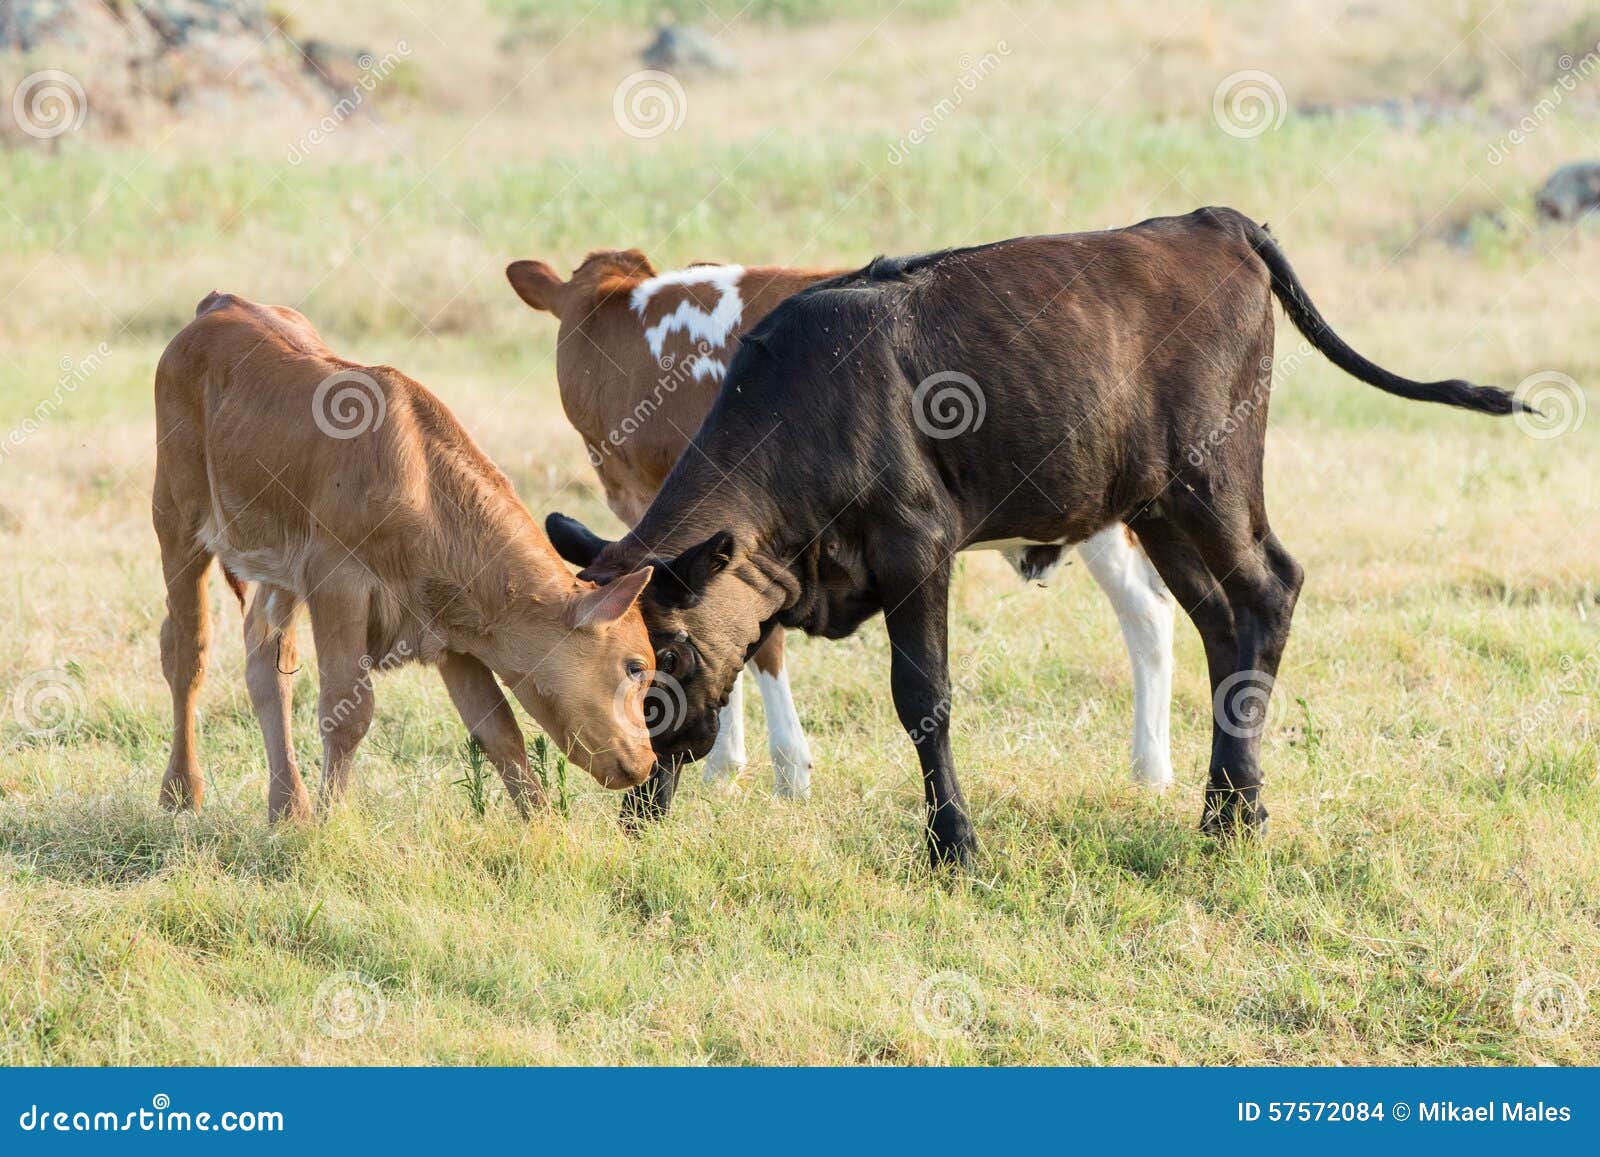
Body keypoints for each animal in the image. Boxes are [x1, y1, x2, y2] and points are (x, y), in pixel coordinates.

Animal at [153, 292, 659, 822]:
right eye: (635, 666)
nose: (646, 762)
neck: (422, 479)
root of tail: (219, 305)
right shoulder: (337, 584)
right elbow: (347, 711)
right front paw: (331, 822)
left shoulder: (451, 632)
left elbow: (499, 729)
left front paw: (545, 825)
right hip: (175, 520)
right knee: (187, 653)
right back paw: (181, 790)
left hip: (277, 568)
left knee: (267, 663)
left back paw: (288, 807)